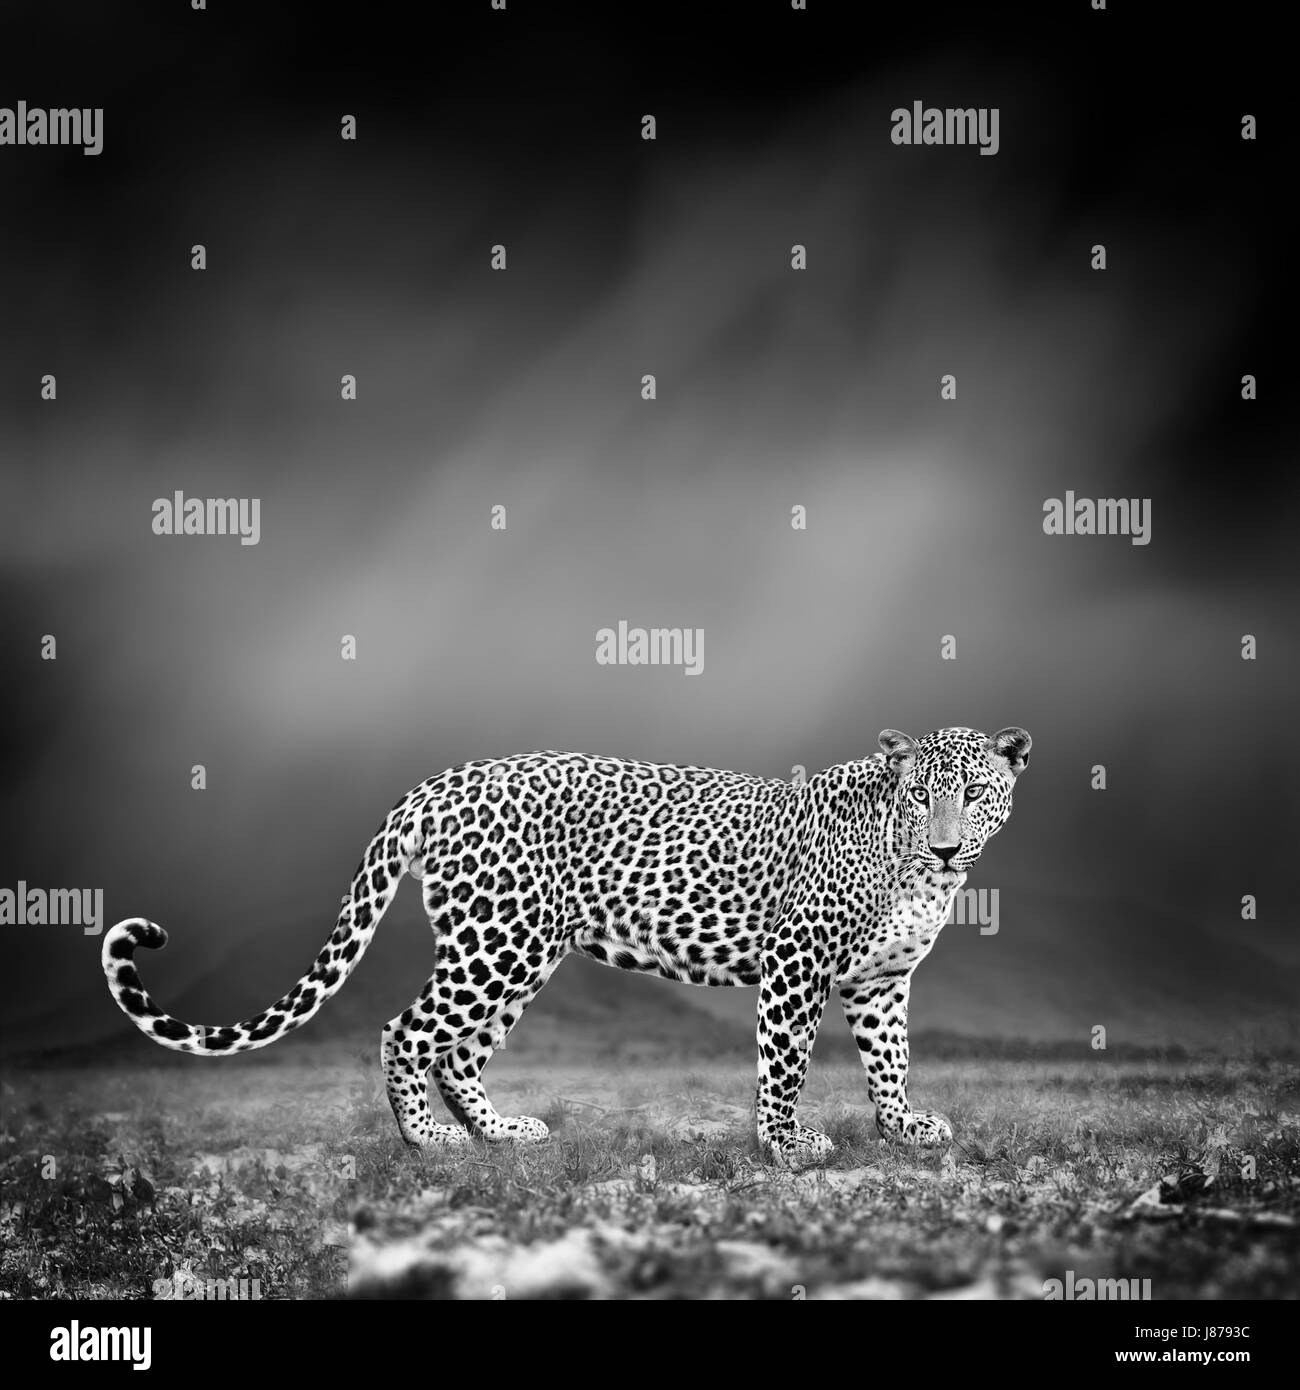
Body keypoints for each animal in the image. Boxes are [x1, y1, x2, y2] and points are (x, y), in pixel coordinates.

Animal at [102, 724, 1030, 1167]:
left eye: (974, 793)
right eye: (921, 795)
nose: (948, 846)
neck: (916, 872)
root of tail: (440, 781)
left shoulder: (882, 982)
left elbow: (890, 1060)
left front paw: (905, 1128)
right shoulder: (794, 963)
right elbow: (785, 1066)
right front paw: (786, 1145)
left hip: (522, 951)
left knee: (459, 1053)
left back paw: (500, 1134)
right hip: (496, 944)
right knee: (407, 1031)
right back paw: (427, 1142)